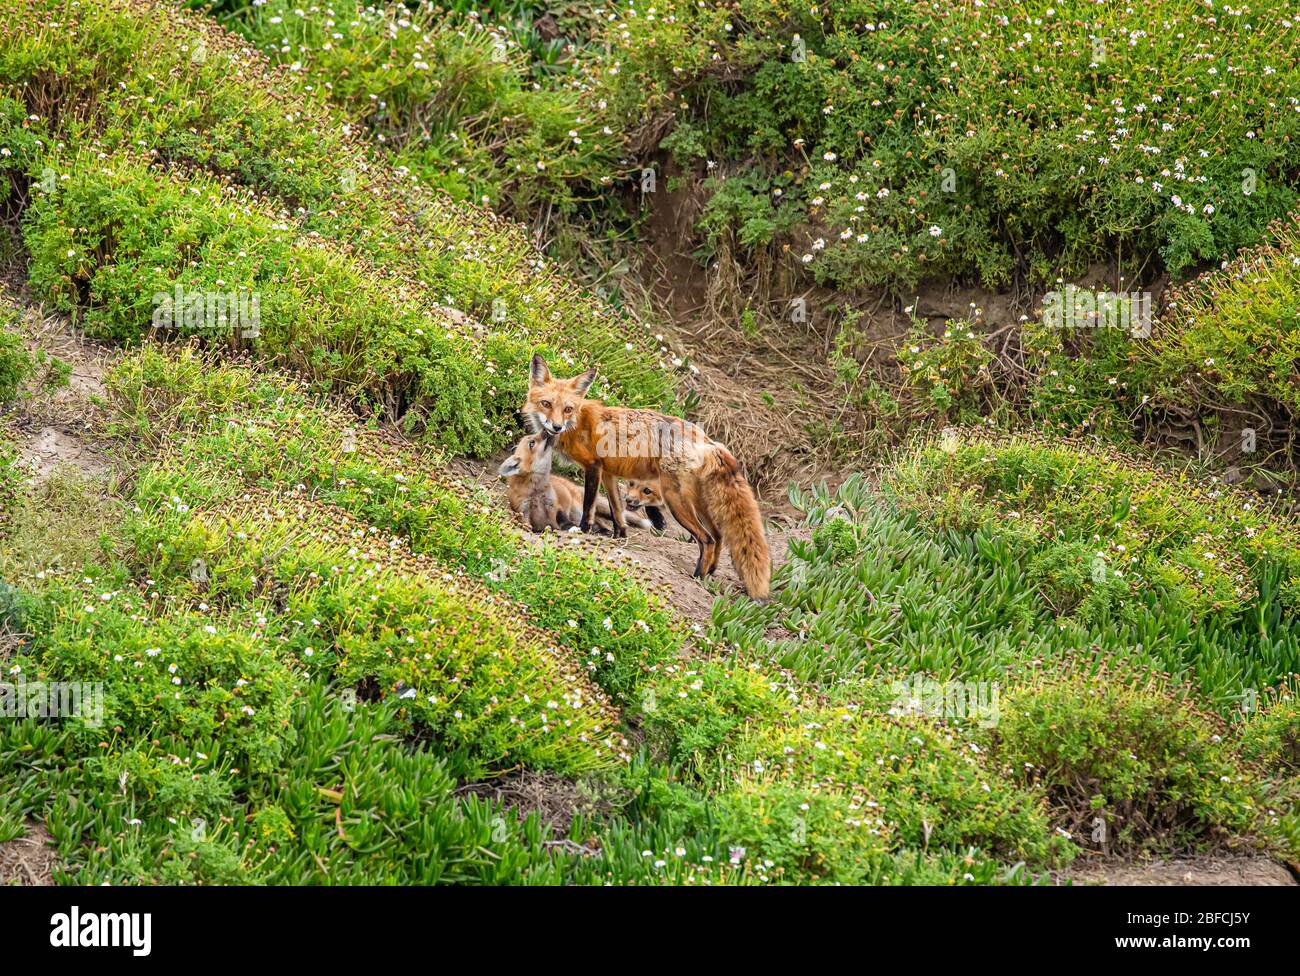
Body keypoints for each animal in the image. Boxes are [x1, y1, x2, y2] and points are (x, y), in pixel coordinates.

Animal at [498, 431, 652, 532]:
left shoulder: (555, 506)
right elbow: (528, 525)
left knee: (597, 522)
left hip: (577, 511)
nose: (545, 429)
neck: (537, 493)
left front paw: (568, 528)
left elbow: (563, 521)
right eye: (532, 443)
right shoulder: (522, 511)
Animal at [524, 354, 770, 598]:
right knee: (718, 535)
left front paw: (584, 531)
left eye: (567, 409)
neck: (577, 423)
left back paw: (697, 577)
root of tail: (708, 440)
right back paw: (710, 571)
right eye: (546, 404)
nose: (556, 426)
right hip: (699, 503)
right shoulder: (609, 473)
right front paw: (619, 537)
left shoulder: (593, 467)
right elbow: (617, 511)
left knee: (706, 539)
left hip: (675, 500)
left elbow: (588, 506)